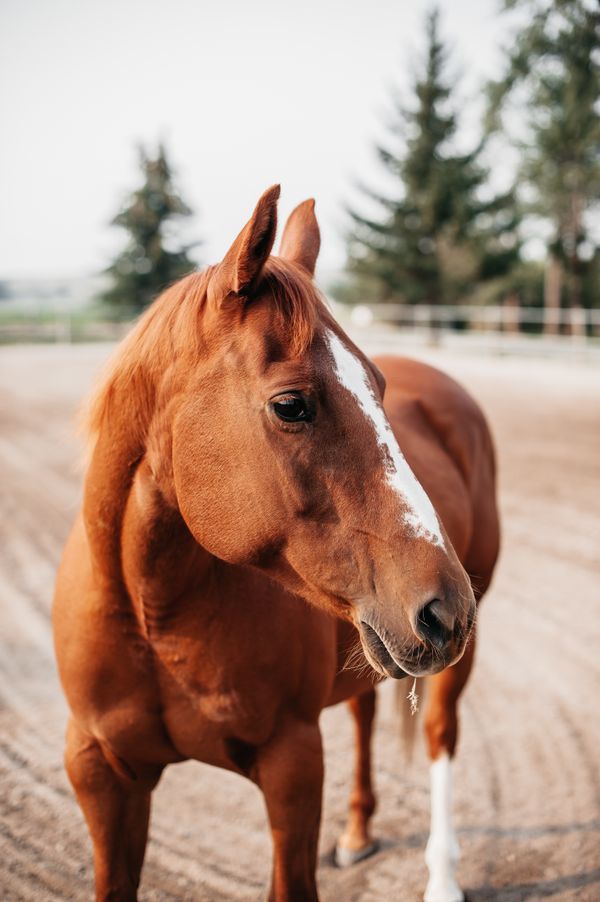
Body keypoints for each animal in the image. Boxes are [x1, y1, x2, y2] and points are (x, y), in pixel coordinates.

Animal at [53, 185, 499, 902]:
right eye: (292, 404)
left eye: (378, 389)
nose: (446, 610)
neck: (153, 616)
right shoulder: (99, 772)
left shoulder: (292, 766)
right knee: (364, 714)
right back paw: (357, 831)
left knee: (439, 736)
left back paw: (442, 876)